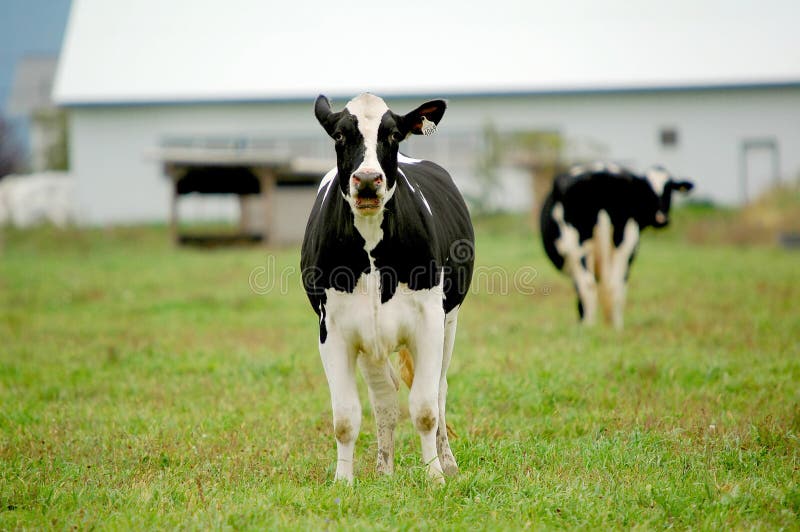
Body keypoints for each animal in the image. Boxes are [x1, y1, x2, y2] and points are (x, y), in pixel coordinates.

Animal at [301, 93, 474, 483]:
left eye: (393, 134)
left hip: (451, 321)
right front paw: (344, 482)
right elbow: (345, 417)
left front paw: (435, 477)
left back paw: (448, 462)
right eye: (339, 135)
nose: (367, 179)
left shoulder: (429, 322)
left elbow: (425, 408)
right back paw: (385, 469)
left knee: (439, 392)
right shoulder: (332, 331)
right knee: (384, 398)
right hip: (371, 341)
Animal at [540, 163, 693, 329]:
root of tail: (602, 174)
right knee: (614, 285)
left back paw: (589, 327)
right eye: (648, 192)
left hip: (580, 249)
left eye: (669, 190)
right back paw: (614, 328)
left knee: (589, 286)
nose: (661, 219)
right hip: (624, 245)